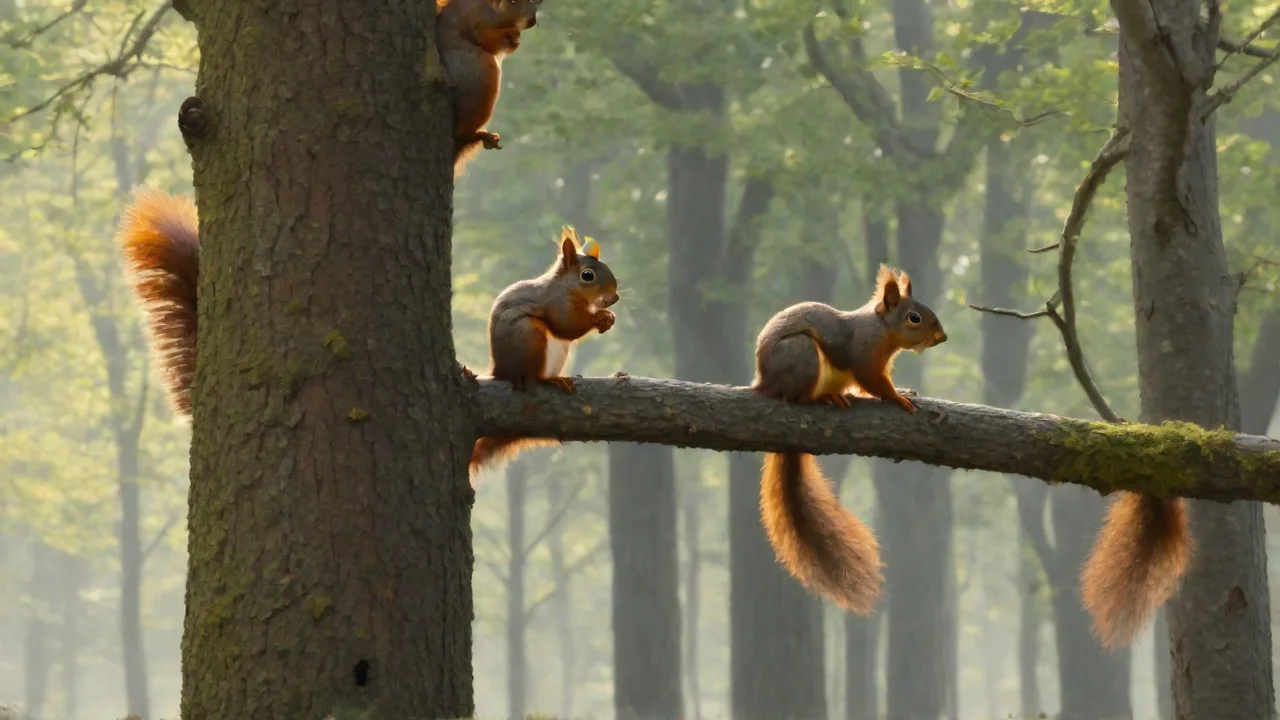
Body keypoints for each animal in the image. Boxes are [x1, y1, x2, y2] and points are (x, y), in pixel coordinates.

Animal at [436, 0, 541, 176]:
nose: (532, 21)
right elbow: (485, 38)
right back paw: (476, 135)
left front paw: (514, 39)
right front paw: (511, 34)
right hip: (479, 81)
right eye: (513, 2)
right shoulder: (477, 20)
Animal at [466, 227, 620, 480]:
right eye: (587, 275)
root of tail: (501, 371)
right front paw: (599, 317)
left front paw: (607, 318)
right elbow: (567, 326)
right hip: (530, 335)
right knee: (533, 378)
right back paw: (551, 380)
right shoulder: (558, 303)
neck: (567, 287)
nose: (614, 298)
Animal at [752, 265, 947, 614]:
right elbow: (873, 382)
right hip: (801, 356)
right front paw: (898, 398)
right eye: (914, 317)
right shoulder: (864, 355)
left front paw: (904, 390)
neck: (882, 331)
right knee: (795, 395)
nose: (942, 337)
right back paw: (819, 398)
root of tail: (764, 382)